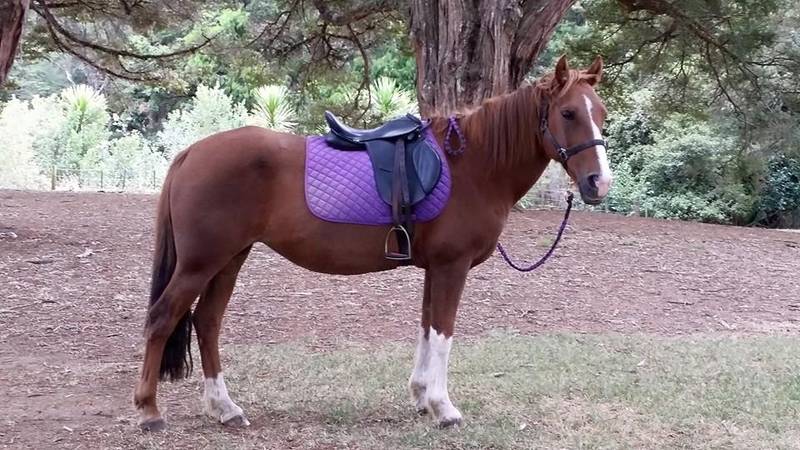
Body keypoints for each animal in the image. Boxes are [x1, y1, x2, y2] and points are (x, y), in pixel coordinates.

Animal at [133, 55, 612, 431]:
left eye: (602, 113)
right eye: (569, 113)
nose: (599, 183)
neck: (473, 166)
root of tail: (191, 153)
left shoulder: (435, 268)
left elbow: (426, 328)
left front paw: (420, 396)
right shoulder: (451, 266)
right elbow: (444, 333)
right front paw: (444, 407)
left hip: (229, 259)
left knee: (207, 322)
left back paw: (225, 408)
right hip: (201, 262)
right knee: (161, 319)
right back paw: (149, 411)